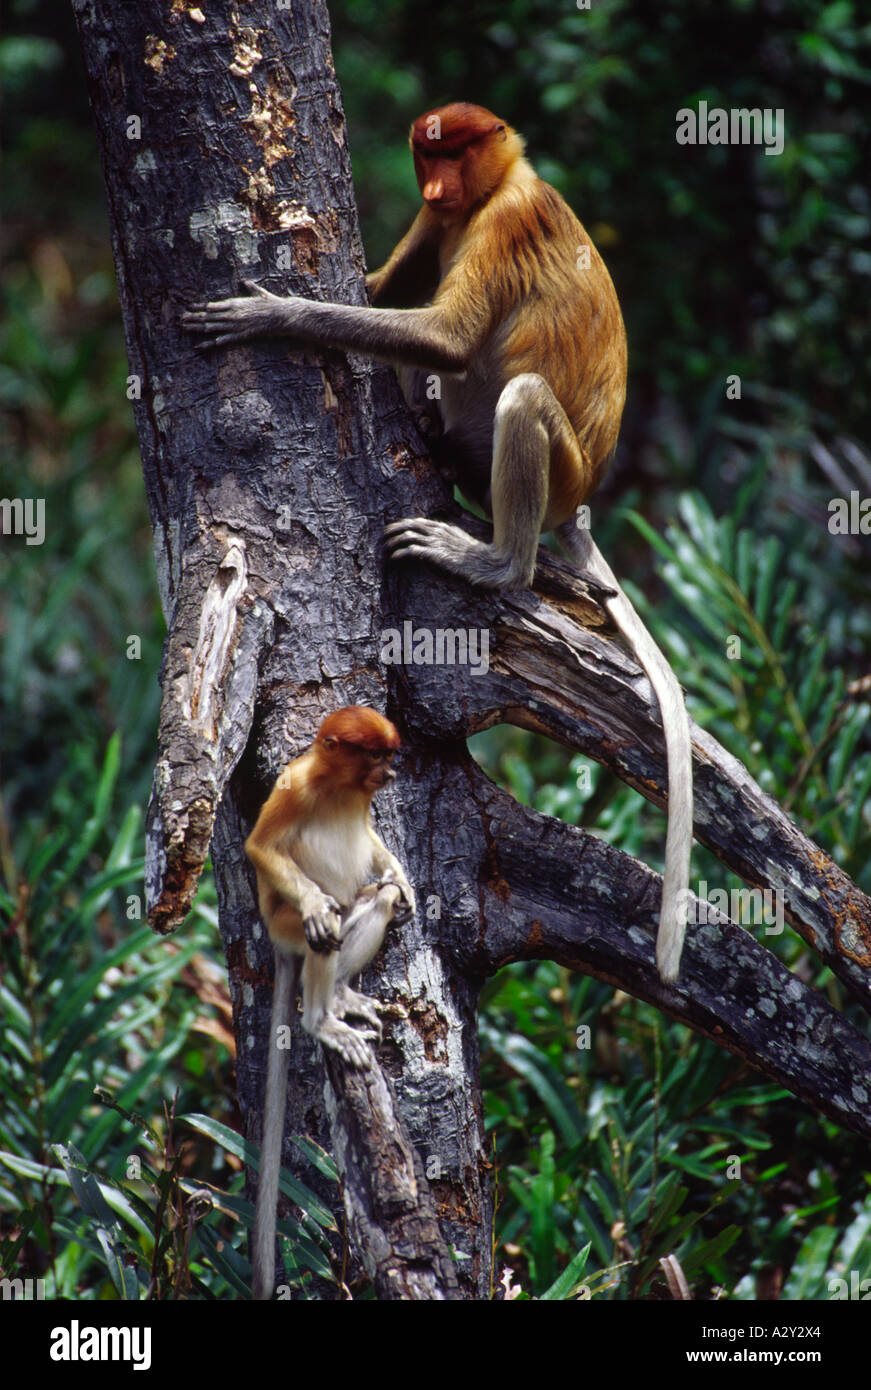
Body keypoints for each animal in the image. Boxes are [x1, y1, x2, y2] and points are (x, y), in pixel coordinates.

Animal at [183, 103, 692, 984]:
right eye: (430, 157)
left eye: (452, 151)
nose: (433, 185)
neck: (495, 186)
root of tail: (582, 503)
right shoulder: (444, 221)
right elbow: (383, 292)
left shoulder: (503, 224)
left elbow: (448, 336)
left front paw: (266, 313)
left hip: (552, 468)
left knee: (518, 395)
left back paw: (493, 558)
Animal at [244, 705, 415, 1299]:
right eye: (376, 755)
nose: (392, 772)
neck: (340, 788)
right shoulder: (294, 786)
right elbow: (260, 847)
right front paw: (317, 905)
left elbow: (378, 855)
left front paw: (405, 880)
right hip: (285, 924)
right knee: (327, 932)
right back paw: (323, 1020)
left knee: (377, 899)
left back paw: (343, 996)